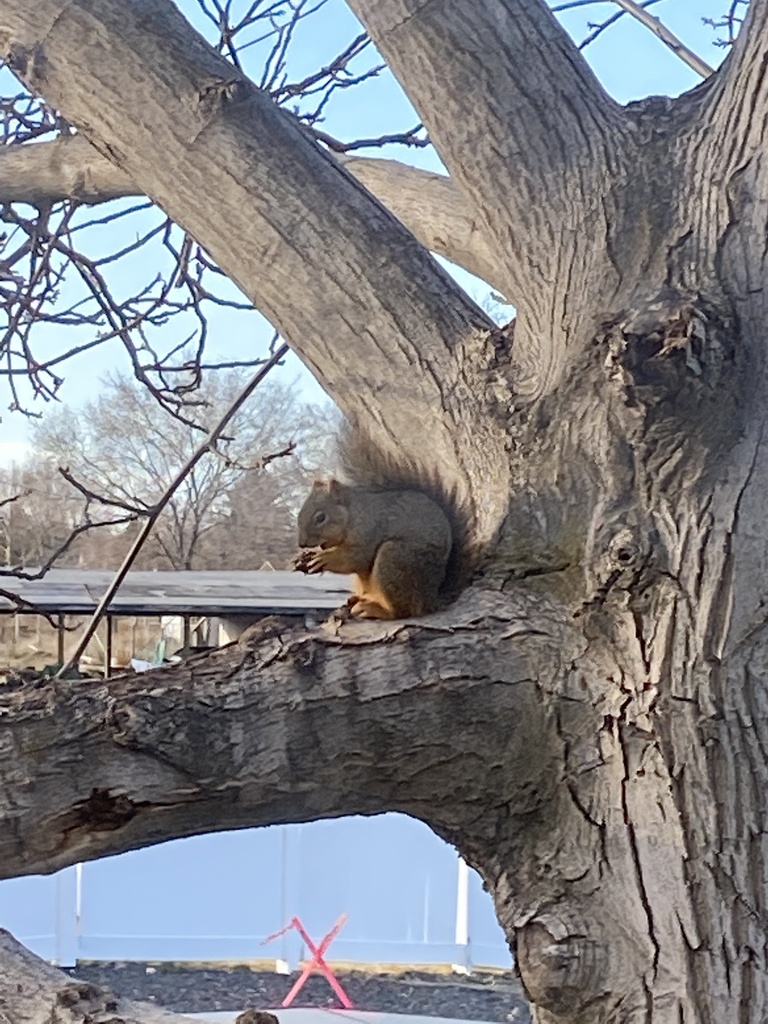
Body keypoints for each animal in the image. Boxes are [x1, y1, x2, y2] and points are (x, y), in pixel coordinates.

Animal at [293, 424, 474, 620]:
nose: (301, 543)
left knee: (404, 611)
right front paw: (305, 557)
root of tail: (431, 597)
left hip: (395, 559)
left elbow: (356, 558)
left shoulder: (369, 530)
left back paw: (376, 609)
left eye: (321, 517)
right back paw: (358, 600)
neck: (354, 515)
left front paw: (324, 558)